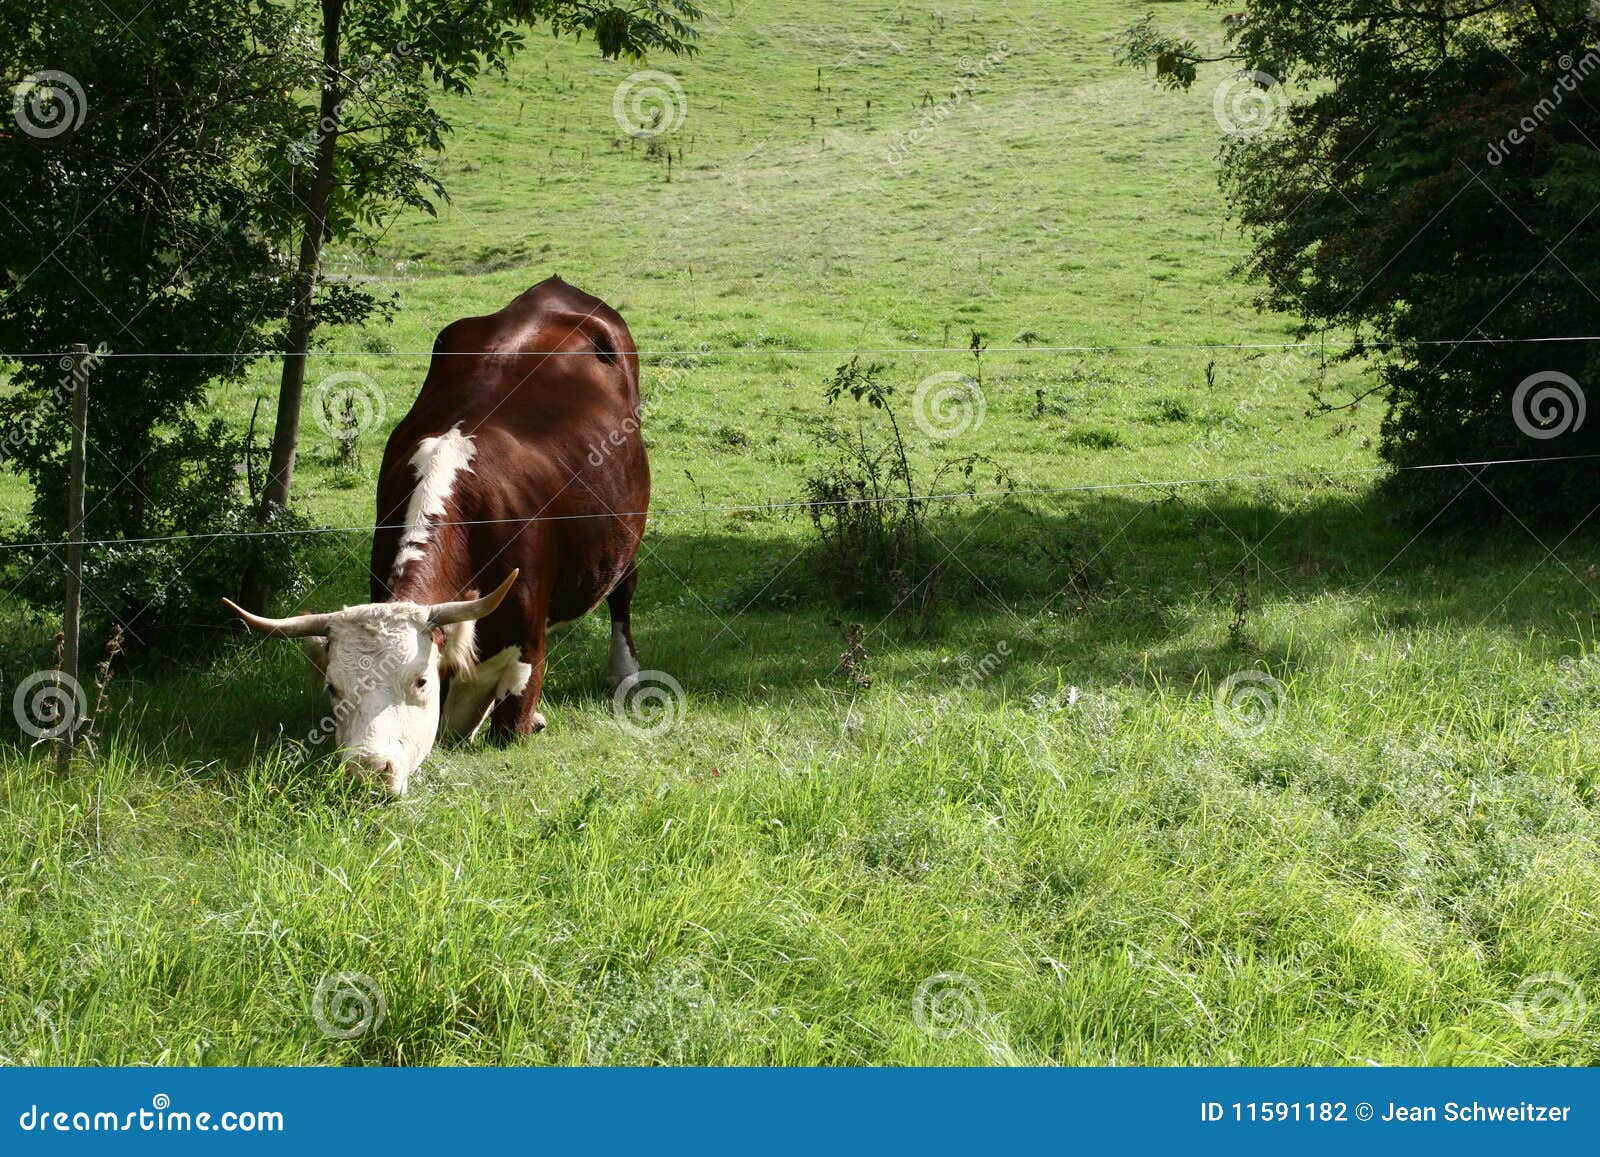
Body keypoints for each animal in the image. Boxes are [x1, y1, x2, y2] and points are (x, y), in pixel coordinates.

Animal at [225, 277, 650, 796]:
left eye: (419, 681)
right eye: (332, 687)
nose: (368, 772)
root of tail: (554, 288)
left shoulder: (527, 650)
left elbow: (509, 725)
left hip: (626, 531)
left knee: (623, 590)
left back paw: (624, 671)